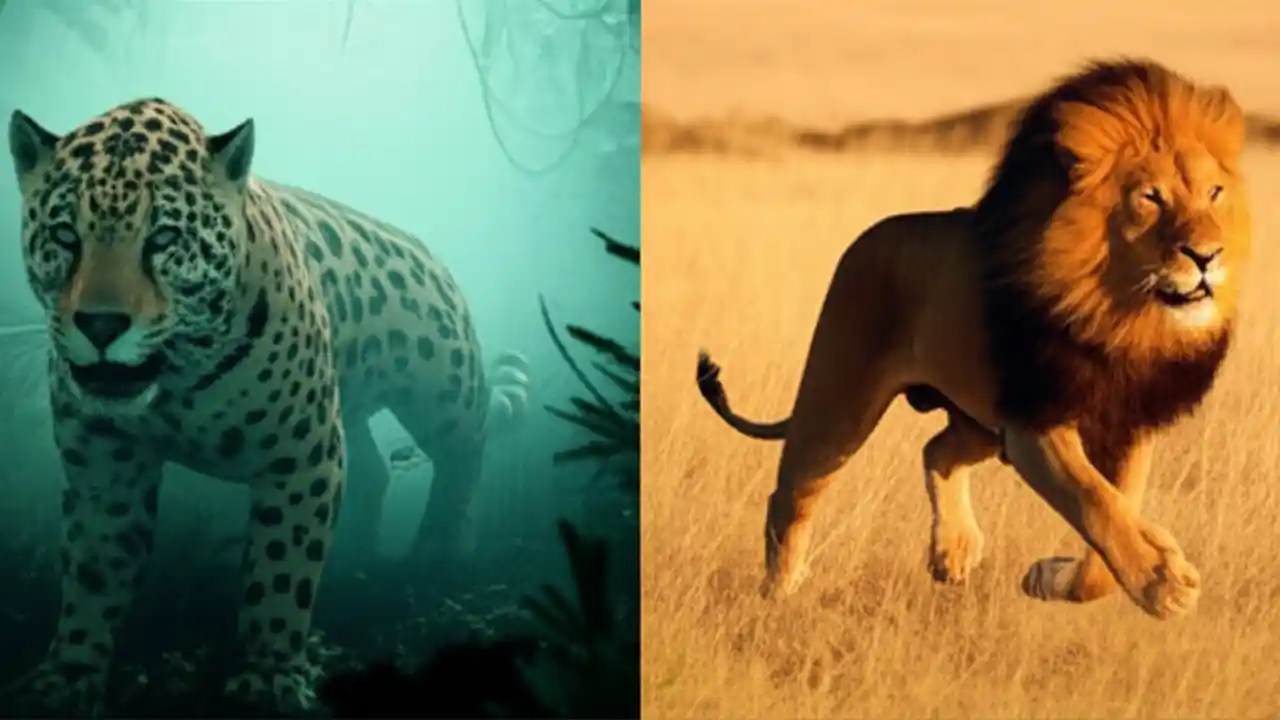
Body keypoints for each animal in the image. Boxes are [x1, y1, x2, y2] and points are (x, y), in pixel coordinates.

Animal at [695, 58, 1250, 619]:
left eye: (1214, 194)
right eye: (1151, 198)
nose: (1208, 256)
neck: (1116, 315)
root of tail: (865, 239)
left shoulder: (1130, 424)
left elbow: (1113, 524)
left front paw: (1053, 577)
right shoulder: (1033, 423)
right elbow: (1093, 501)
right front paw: (1165, 581)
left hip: (980, 422)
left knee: (935, 450)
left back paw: (954, 552)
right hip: (840, 405)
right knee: (792, 492)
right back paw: (779, 591)